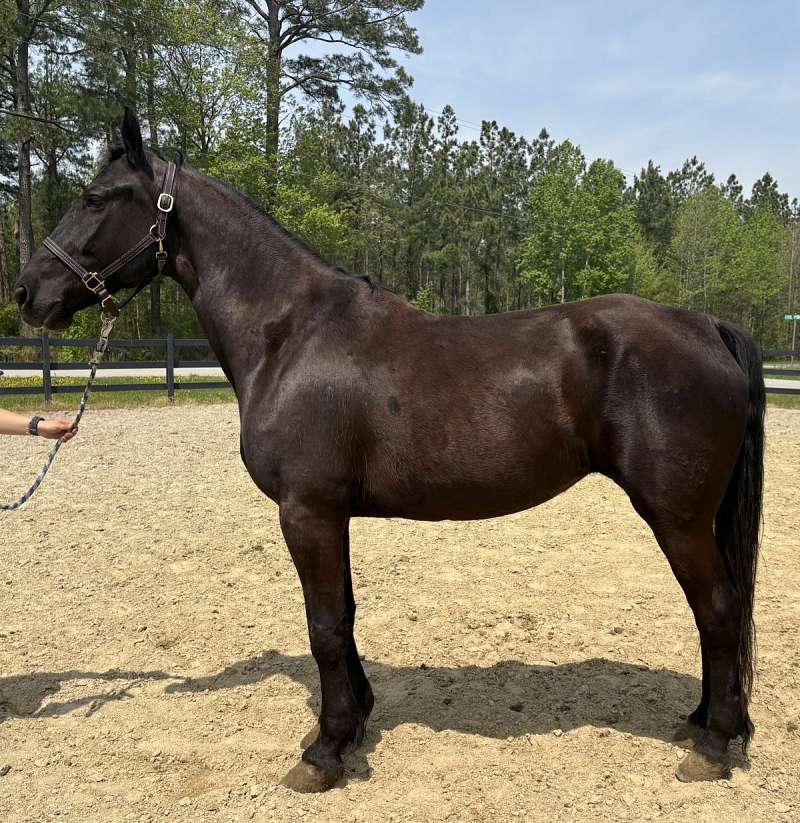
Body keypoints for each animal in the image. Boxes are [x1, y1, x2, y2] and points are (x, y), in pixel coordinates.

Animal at [15, 110, 764, 793]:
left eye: (94, 197)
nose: (27, 292)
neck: (291, 333)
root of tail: (707, 324)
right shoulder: (328, 513)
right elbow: (343, 615)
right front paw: (353, 723)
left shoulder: (307, 510)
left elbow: (322, 624)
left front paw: (323, 752)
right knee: (715, 614)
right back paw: (700, 723)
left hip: (677, 516)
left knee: (719, 610)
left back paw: (714, 745)